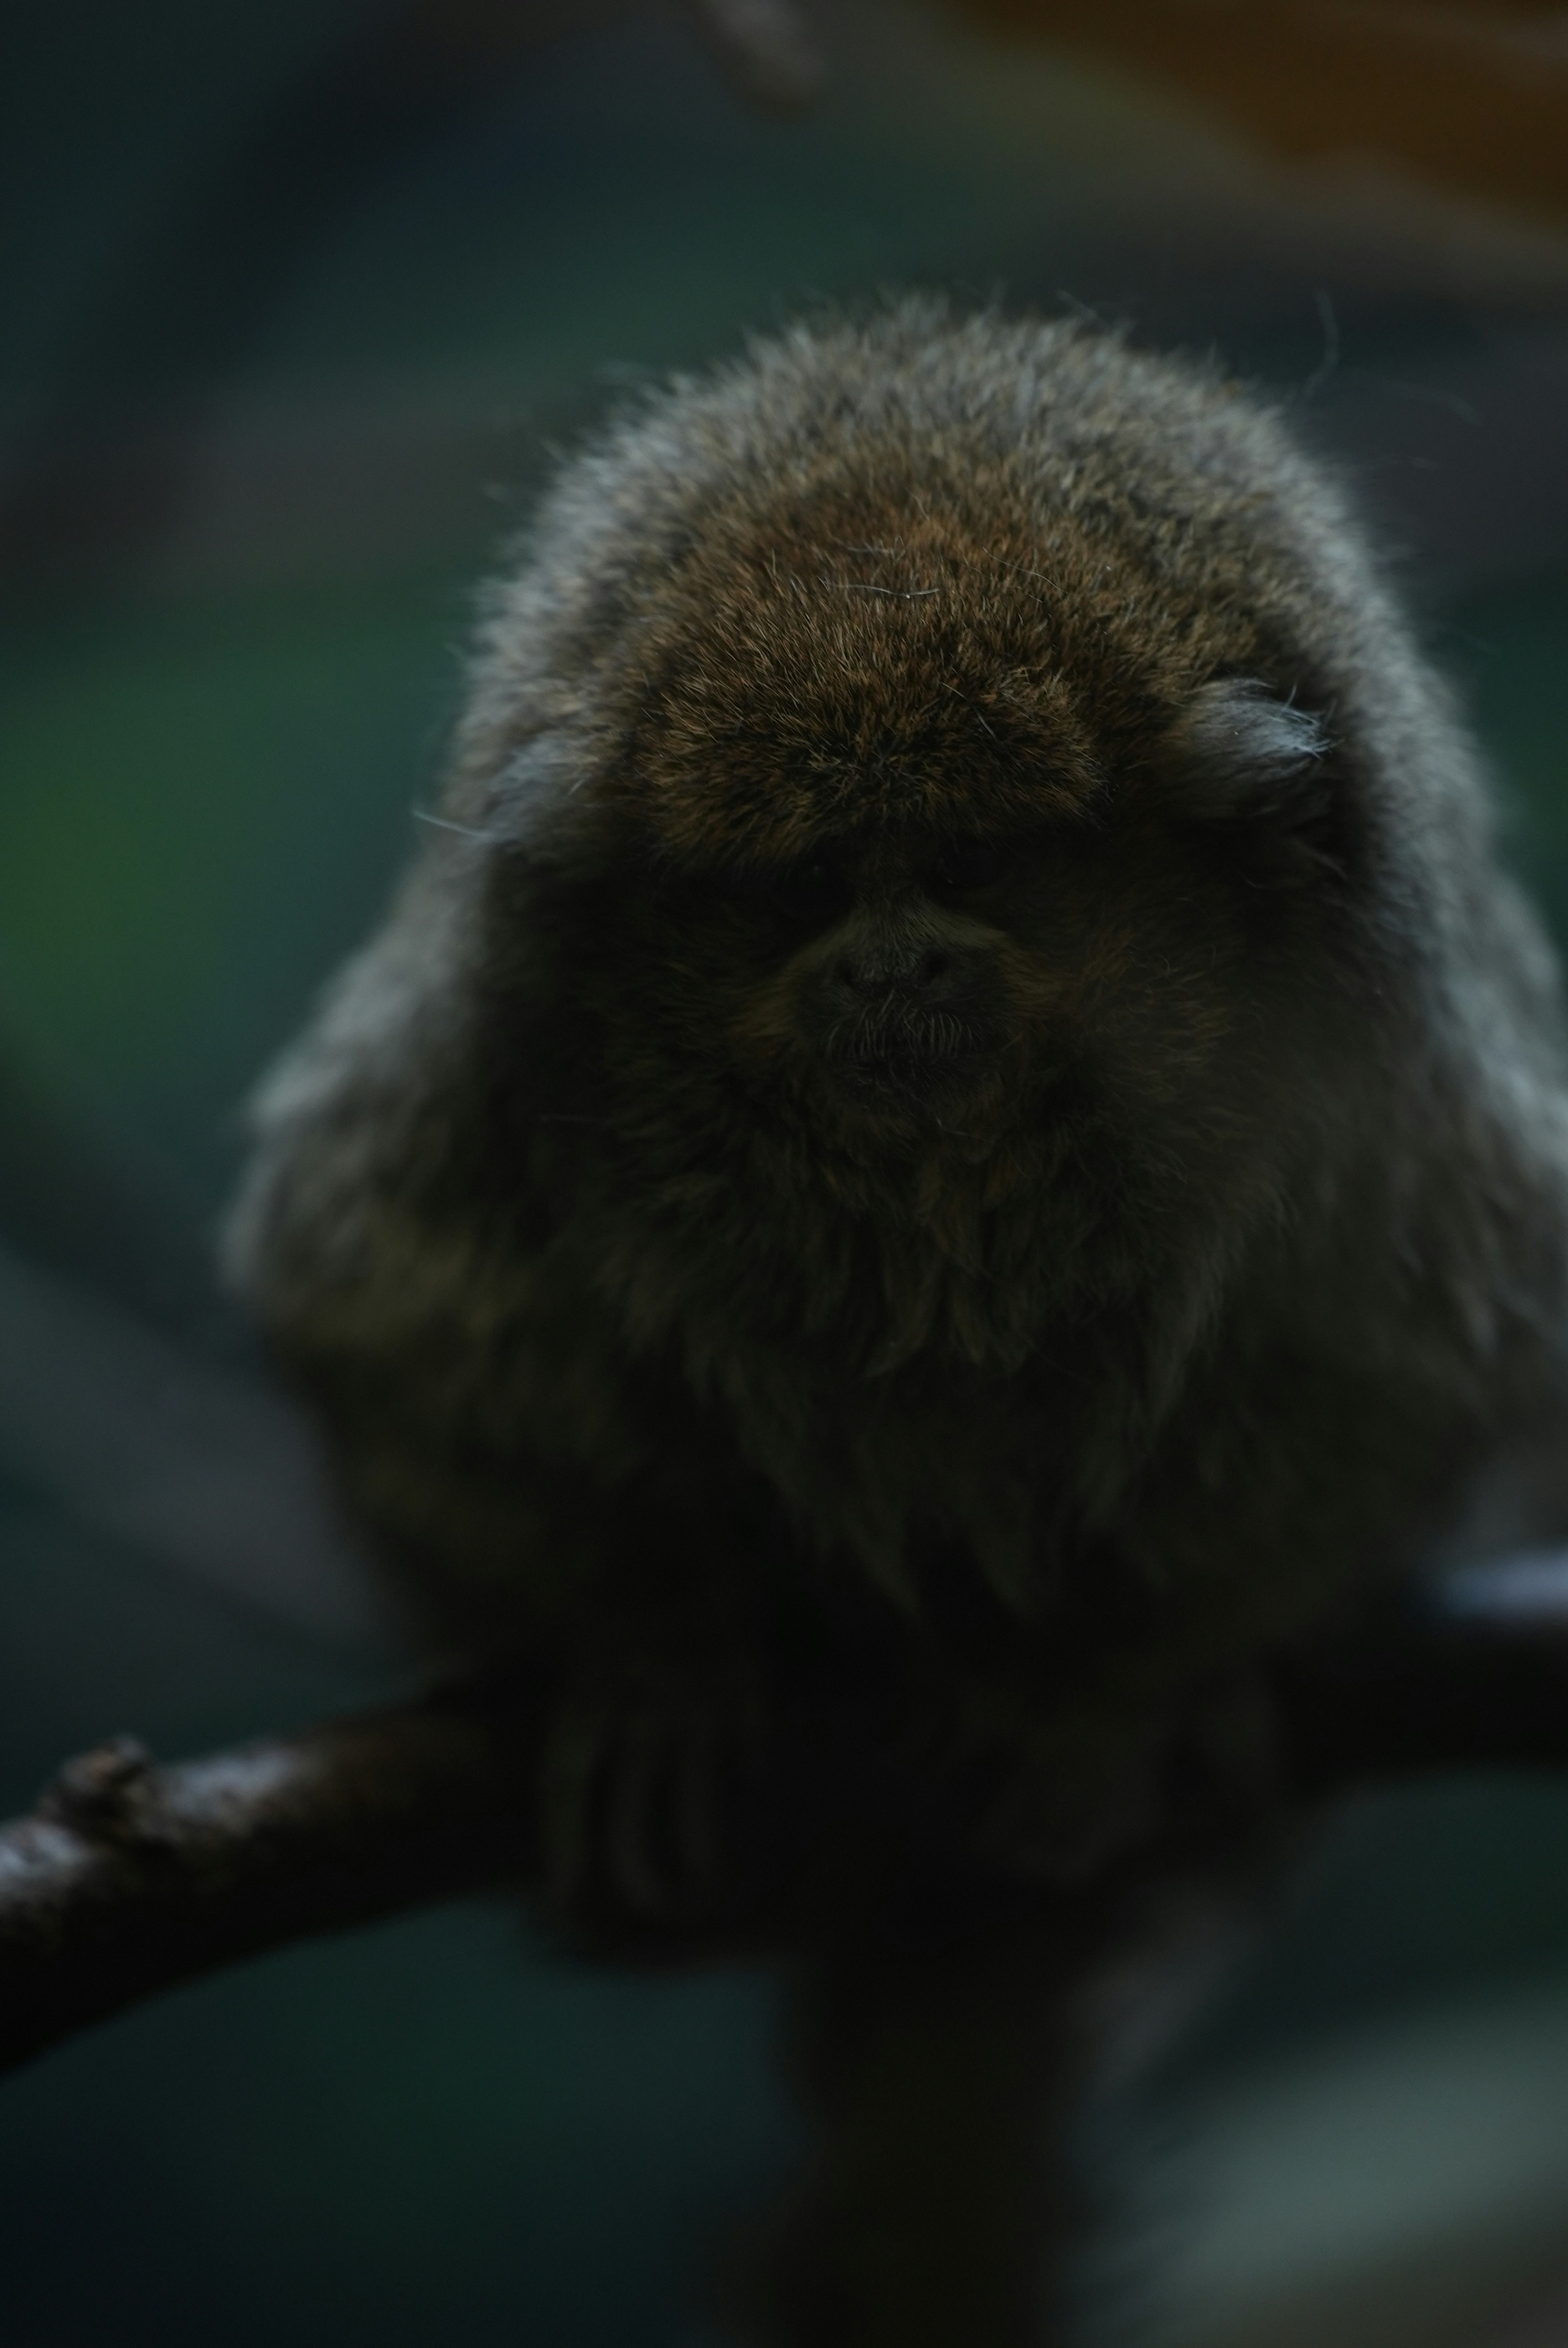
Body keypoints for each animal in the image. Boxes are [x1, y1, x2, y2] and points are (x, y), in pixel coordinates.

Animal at [225, 303, 1568, 2334]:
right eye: (803, 889)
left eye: (982, 868)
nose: (892, 968)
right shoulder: (490, 1091)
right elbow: (388, 1326)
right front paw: (652, 1655)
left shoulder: (1376, 1084)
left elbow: (1410, 1368)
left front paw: (1130, 1683)